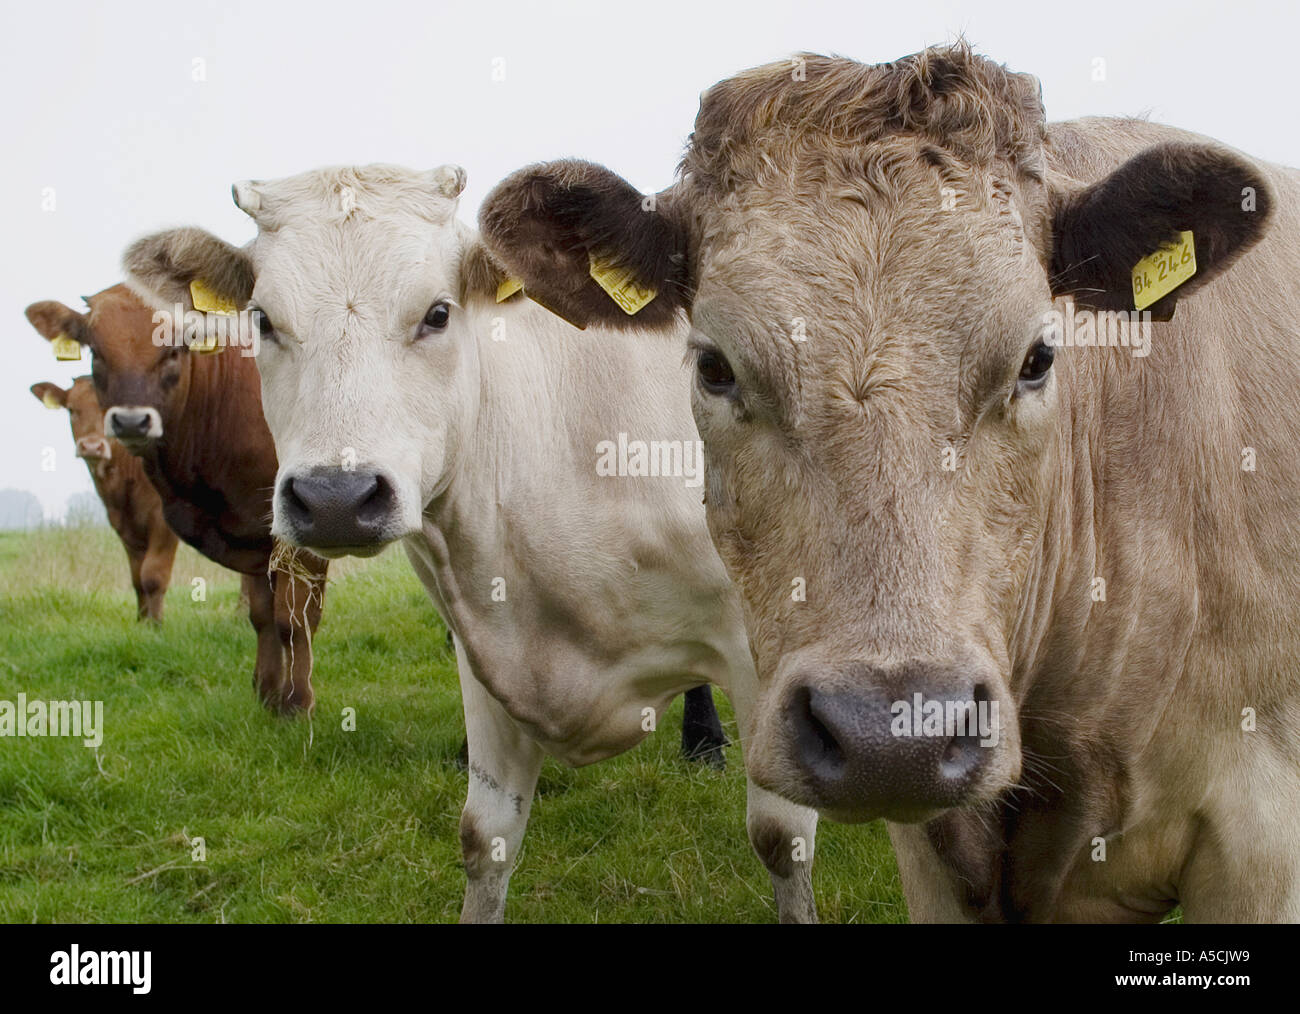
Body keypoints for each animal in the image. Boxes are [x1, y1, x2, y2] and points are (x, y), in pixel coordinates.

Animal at [28, 375, 179, 622]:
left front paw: (156, 624)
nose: (91, 446)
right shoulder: (126, 526)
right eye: (72, 410)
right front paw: (142, 623)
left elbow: (153, 575)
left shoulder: (162, 521)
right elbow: (137, 578)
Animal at [122, 163, 818, 922]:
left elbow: (781, 838)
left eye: (437, 313)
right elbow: (484, 836)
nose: (336, 498)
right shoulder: (486, 645)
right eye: (262, 319)